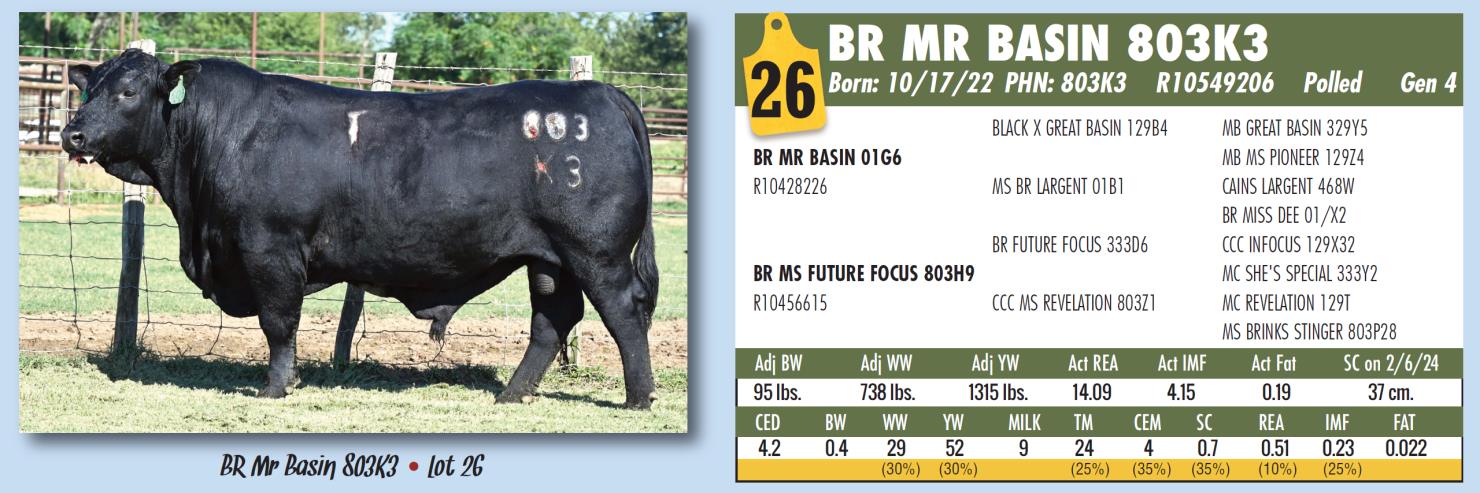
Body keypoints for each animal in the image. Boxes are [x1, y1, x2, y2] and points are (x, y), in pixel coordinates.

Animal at [60, 49, 661, 409]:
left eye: (129, 92)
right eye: (90, 90)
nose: (72, 134)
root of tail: (601, 93)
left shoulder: (270, 247)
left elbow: (279, 322)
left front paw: (276, 387)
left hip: (597, 252)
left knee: (624, 314)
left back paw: (638, 397)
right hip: (549, 258)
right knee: (553, 319)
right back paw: (512, 394)